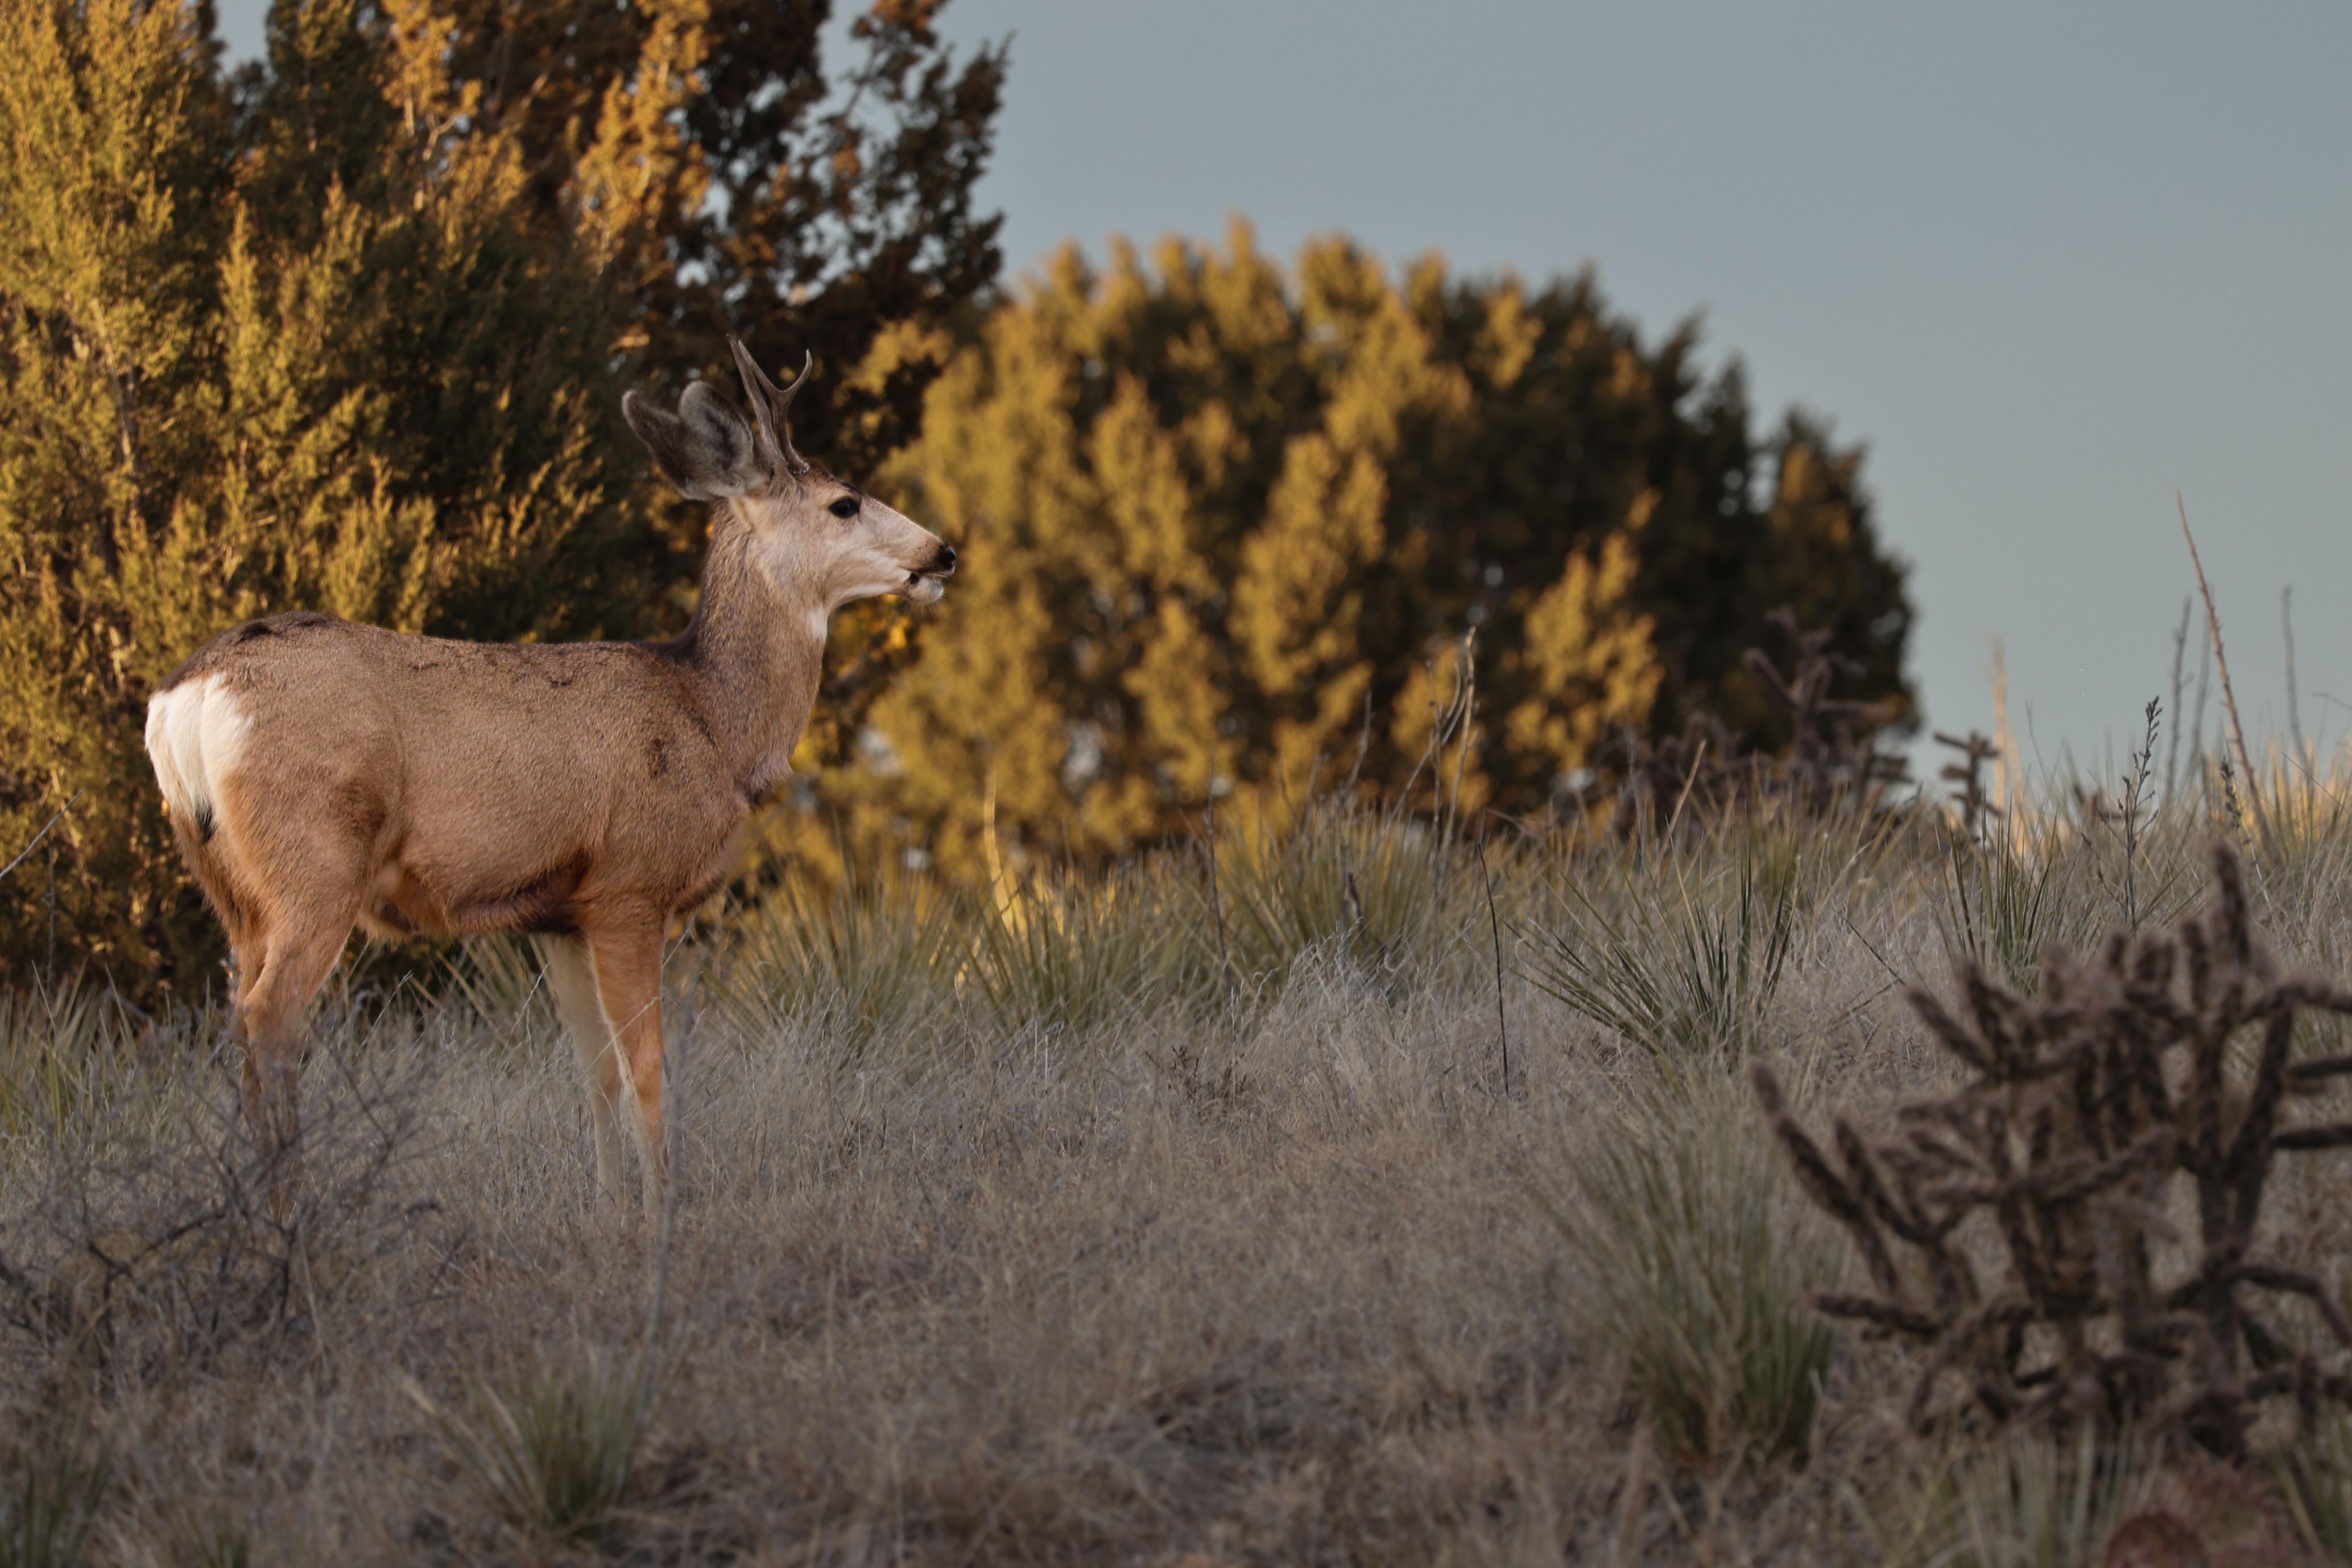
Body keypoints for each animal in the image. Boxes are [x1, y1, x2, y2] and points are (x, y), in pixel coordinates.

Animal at [143, 343, 955, 1212]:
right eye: (844, 503)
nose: (942, 552)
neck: (712, 717)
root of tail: (188, 694)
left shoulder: (560, 913)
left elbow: (596, 1075)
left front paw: (609, 1213)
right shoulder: (632, 885)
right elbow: (649, 1071)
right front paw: (663, 1212)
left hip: (229, 886)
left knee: (237, 1018)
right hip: (315, 859)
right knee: (270, 1020)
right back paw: (290, 1212)